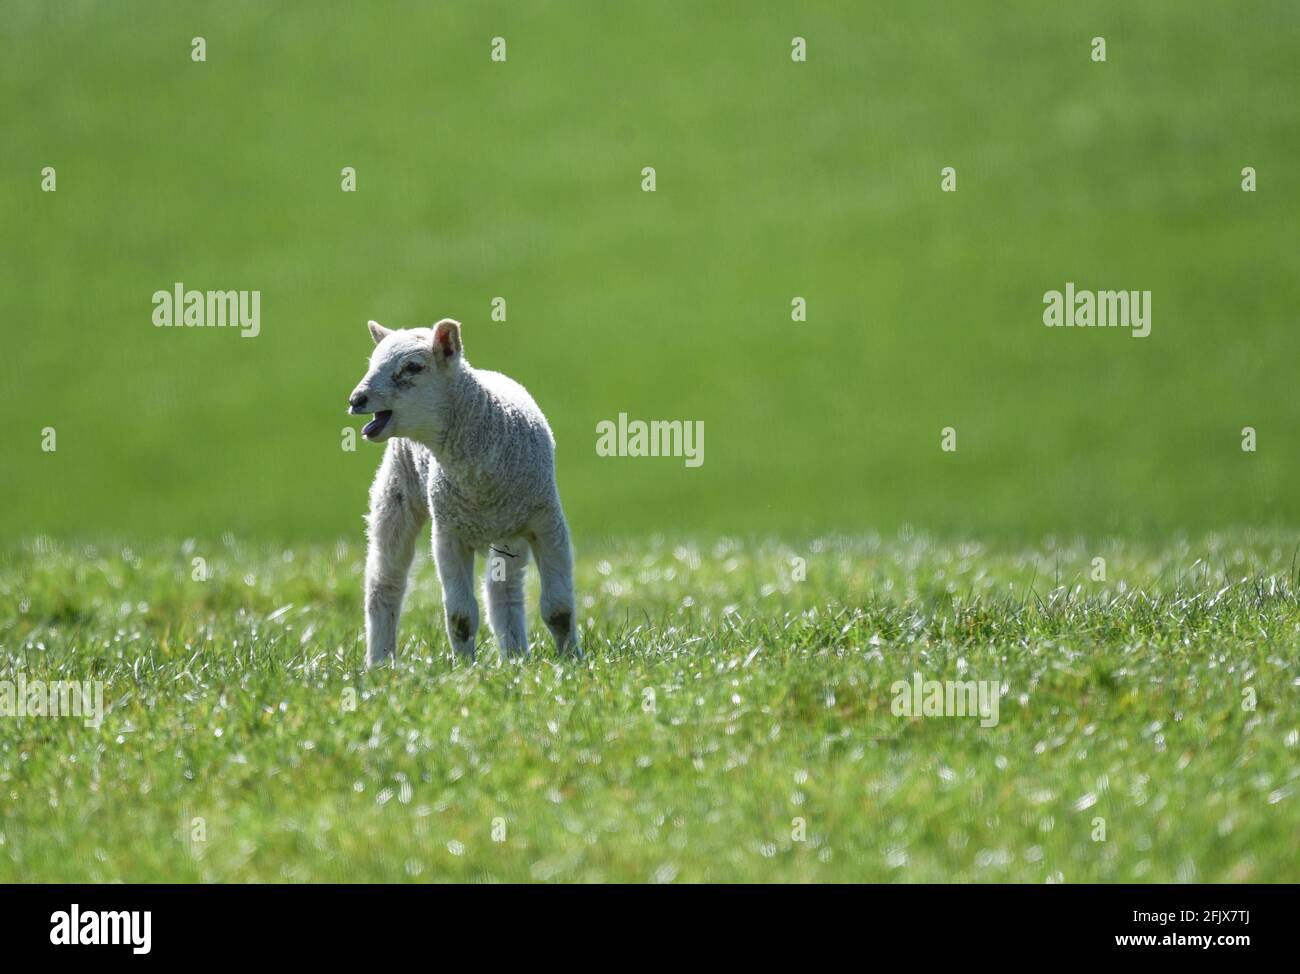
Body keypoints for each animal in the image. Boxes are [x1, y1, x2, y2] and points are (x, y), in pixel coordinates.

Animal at [347, 318, 579, 665]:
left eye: (413, 367)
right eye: (372, 362)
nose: (355, 400)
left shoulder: (548, 523)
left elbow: (559, 610)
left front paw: (573, 661)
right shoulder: (448, 534)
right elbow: (460, 616)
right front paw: (465, 668)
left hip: (508, 530)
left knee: (504, 591)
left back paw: (514, 657)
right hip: (396, 492)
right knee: (384, 583)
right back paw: (380, 664)